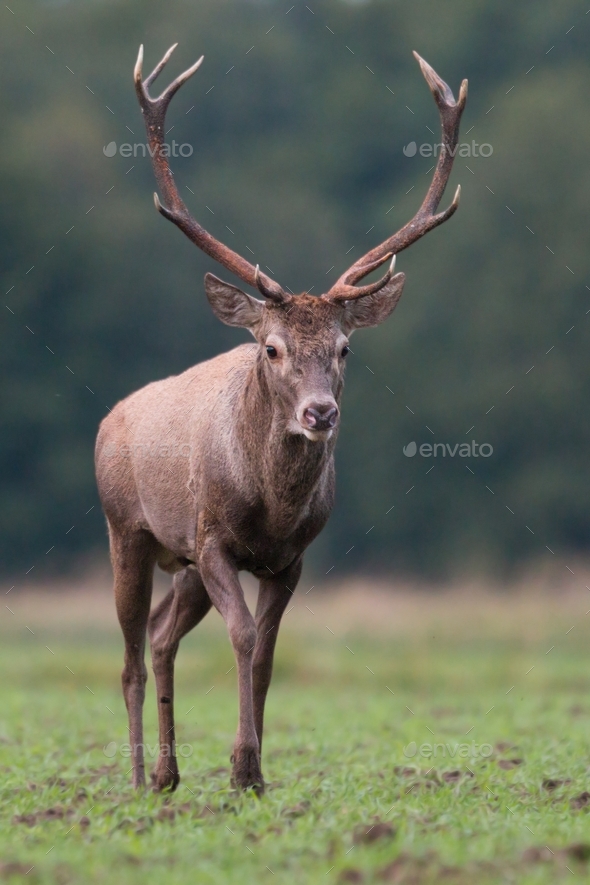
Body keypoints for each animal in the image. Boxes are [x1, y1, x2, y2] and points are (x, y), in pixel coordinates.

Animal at [95, 43, 467, 795]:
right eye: (271, 347)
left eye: (346, 347)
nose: (320, 412)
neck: (269, 507)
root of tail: (108, 419)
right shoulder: (211, 536)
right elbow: (240, 637)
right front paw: (241, 767)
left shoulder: (290, 558)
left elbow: (266, 652)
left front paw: (256, 772)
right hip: (129, 530)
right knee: (129, 654)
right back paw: (140, 776)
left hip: (179, 561)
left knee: (160, 634)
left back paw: (171, 773)